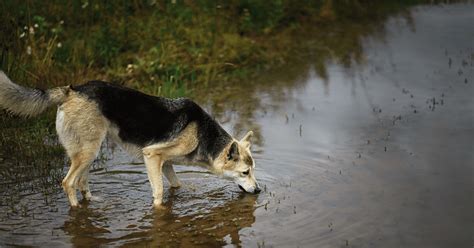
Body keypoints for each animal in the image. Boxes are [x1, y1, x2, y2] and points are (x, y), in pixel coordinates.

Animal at [0, 70, 260, 208]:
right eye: (245, 173)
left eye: (253, 171)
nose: (258, 191)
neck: (202, 134)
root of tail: (71, 90)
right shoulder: (152, 156)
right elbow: (158, 192)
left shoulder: (166, 163)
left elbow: (176, 185)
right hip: (87, 152)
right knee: (68, 183)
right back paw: (76, 212)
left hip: (89, 152)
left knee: (82, 182)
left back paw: (93, 201)